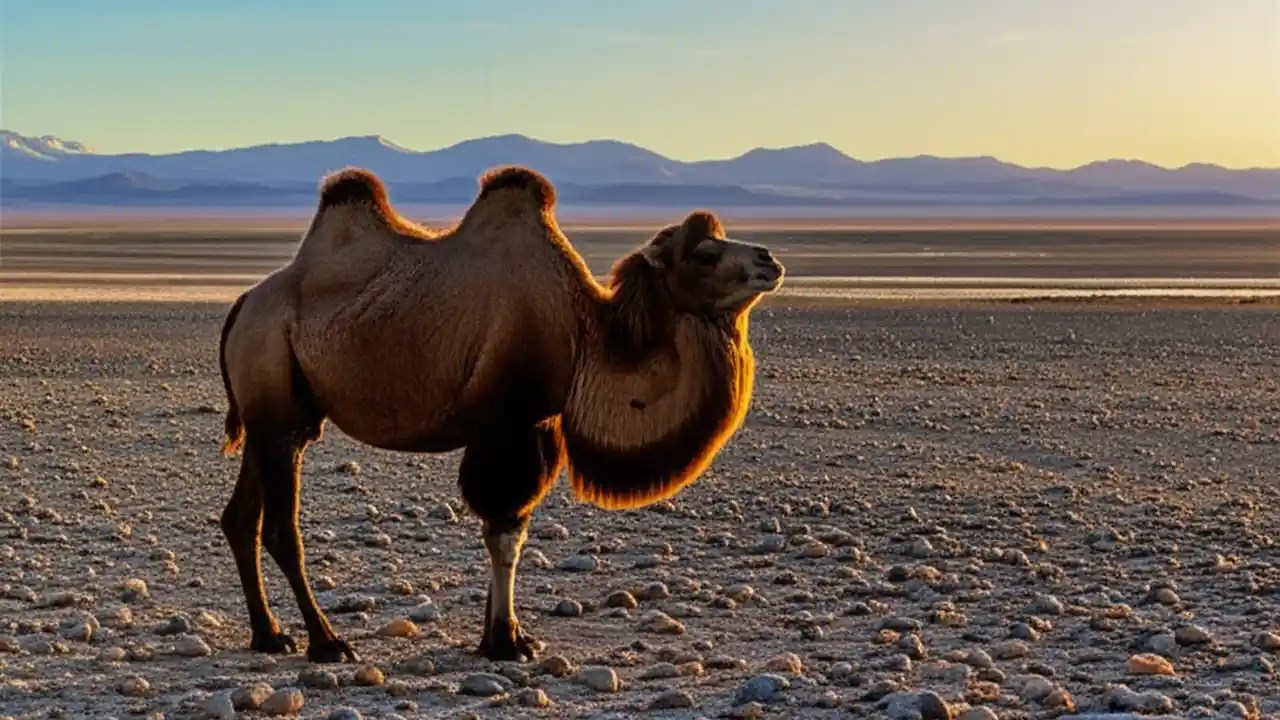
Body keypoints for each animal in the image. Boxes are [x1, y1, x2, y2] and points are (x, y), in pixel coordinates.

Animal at [216, 165, 784, 663]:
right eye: (705, 253)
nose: (770, 260)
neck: (582, 333)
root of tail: (243, 305)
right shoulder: (505, 425)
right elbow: (504, 533)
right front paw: (506, 643)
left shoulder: (534, 427)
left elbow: (513, 527)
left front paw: (505, 635)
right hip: (273, 398)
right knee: (280, 530)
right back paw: (326, 642)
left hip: (279, 422)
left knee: (241, 517)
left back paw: (269, 635)